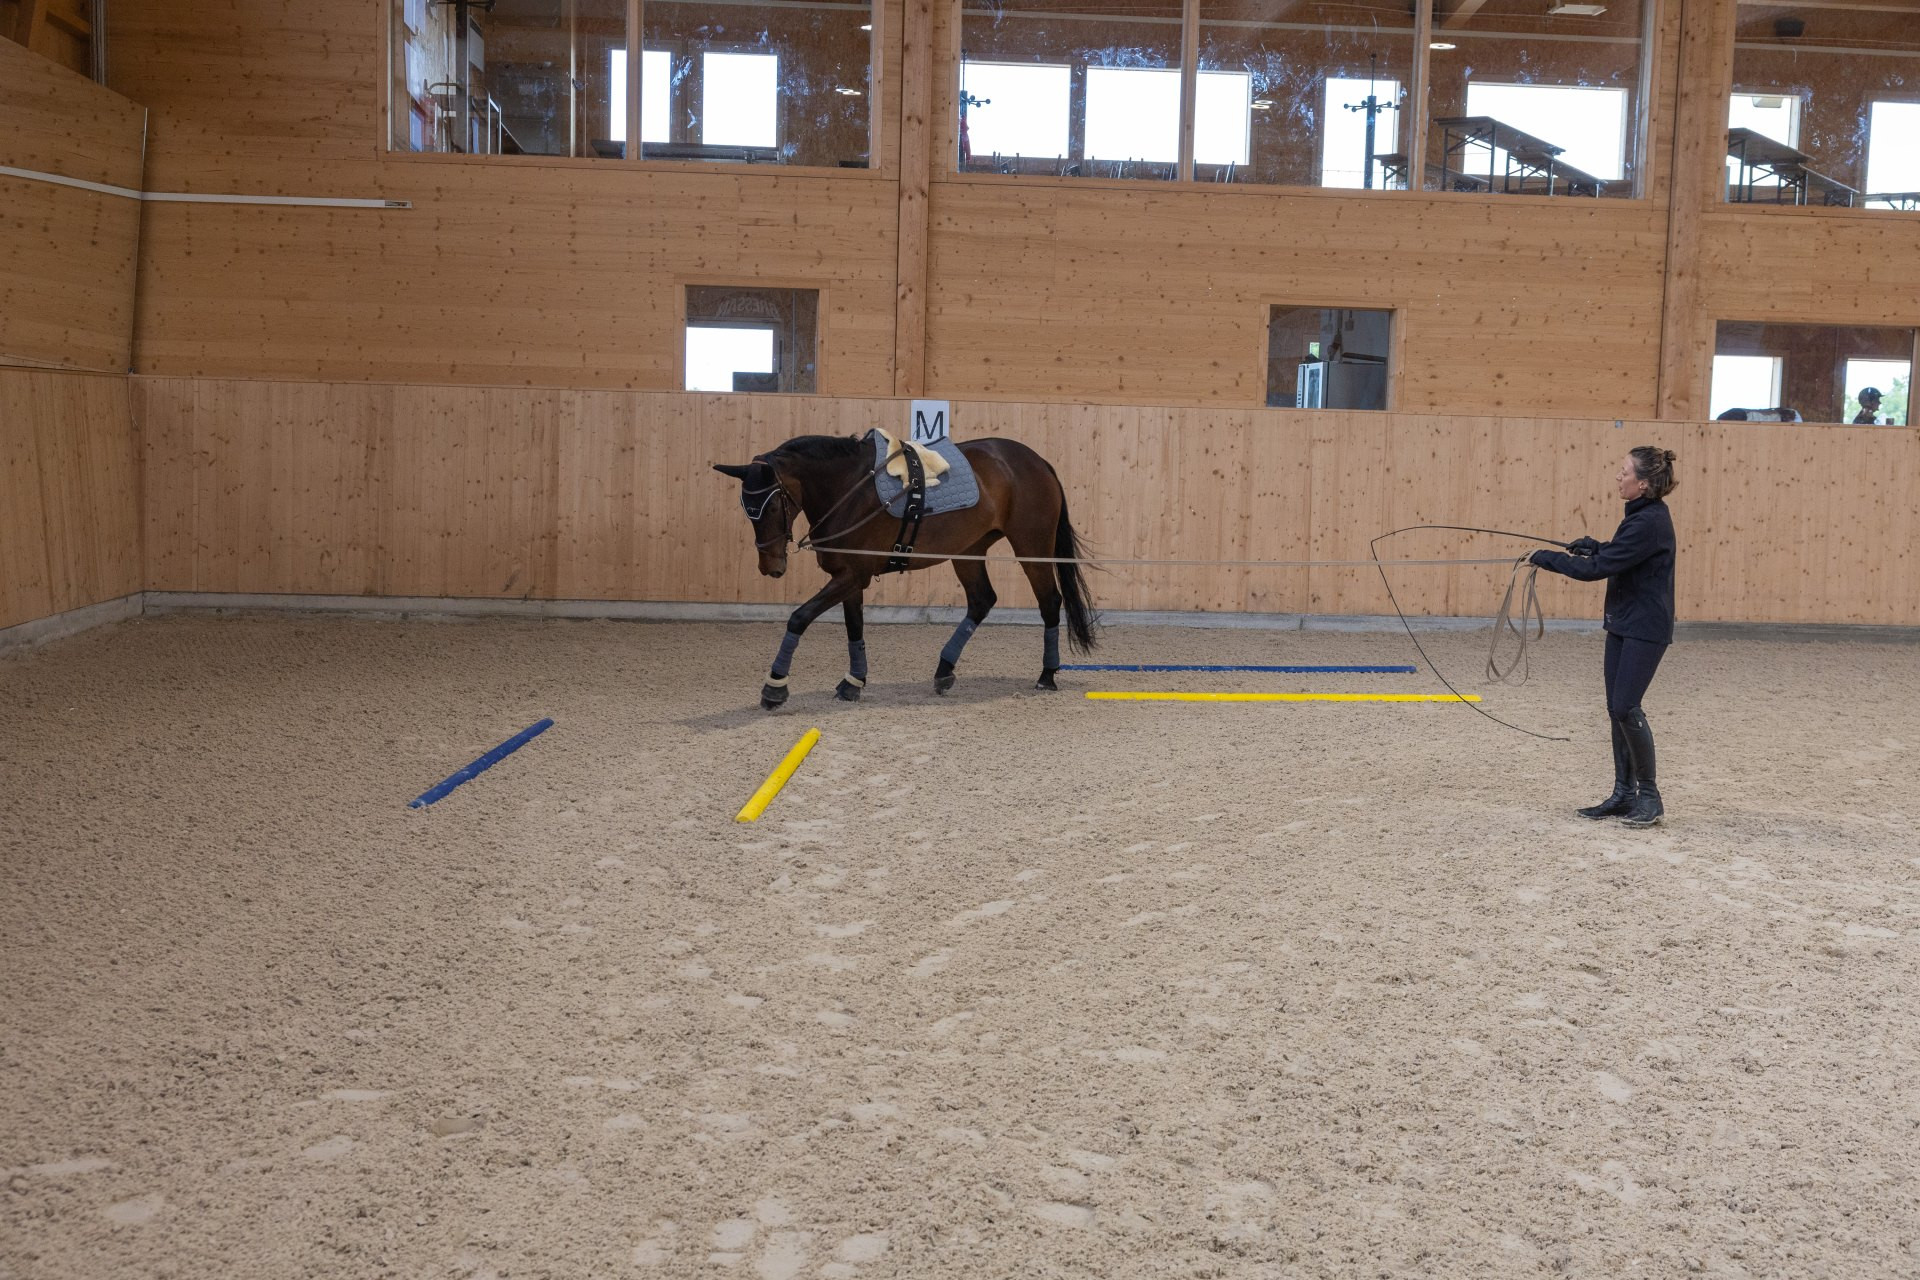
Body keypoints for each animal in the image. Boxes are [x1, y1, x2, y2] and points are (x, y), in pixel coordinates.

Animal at [712, 434, 1098, 710]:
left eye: (771, 505)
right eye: (746, 509)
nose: (771, 567)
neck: (849, 488)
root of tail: (1037, 461)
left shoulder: (853, 575)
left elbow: (799, 618)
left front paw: (775, 686)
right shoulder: (849, 577)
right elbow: (855, 628)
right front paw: (853, 682)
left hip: (1032, 548)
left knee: (1049, 602)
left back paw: (1047, 675)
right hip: (968, 550)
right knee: (981, 601)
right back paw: (944, 671)